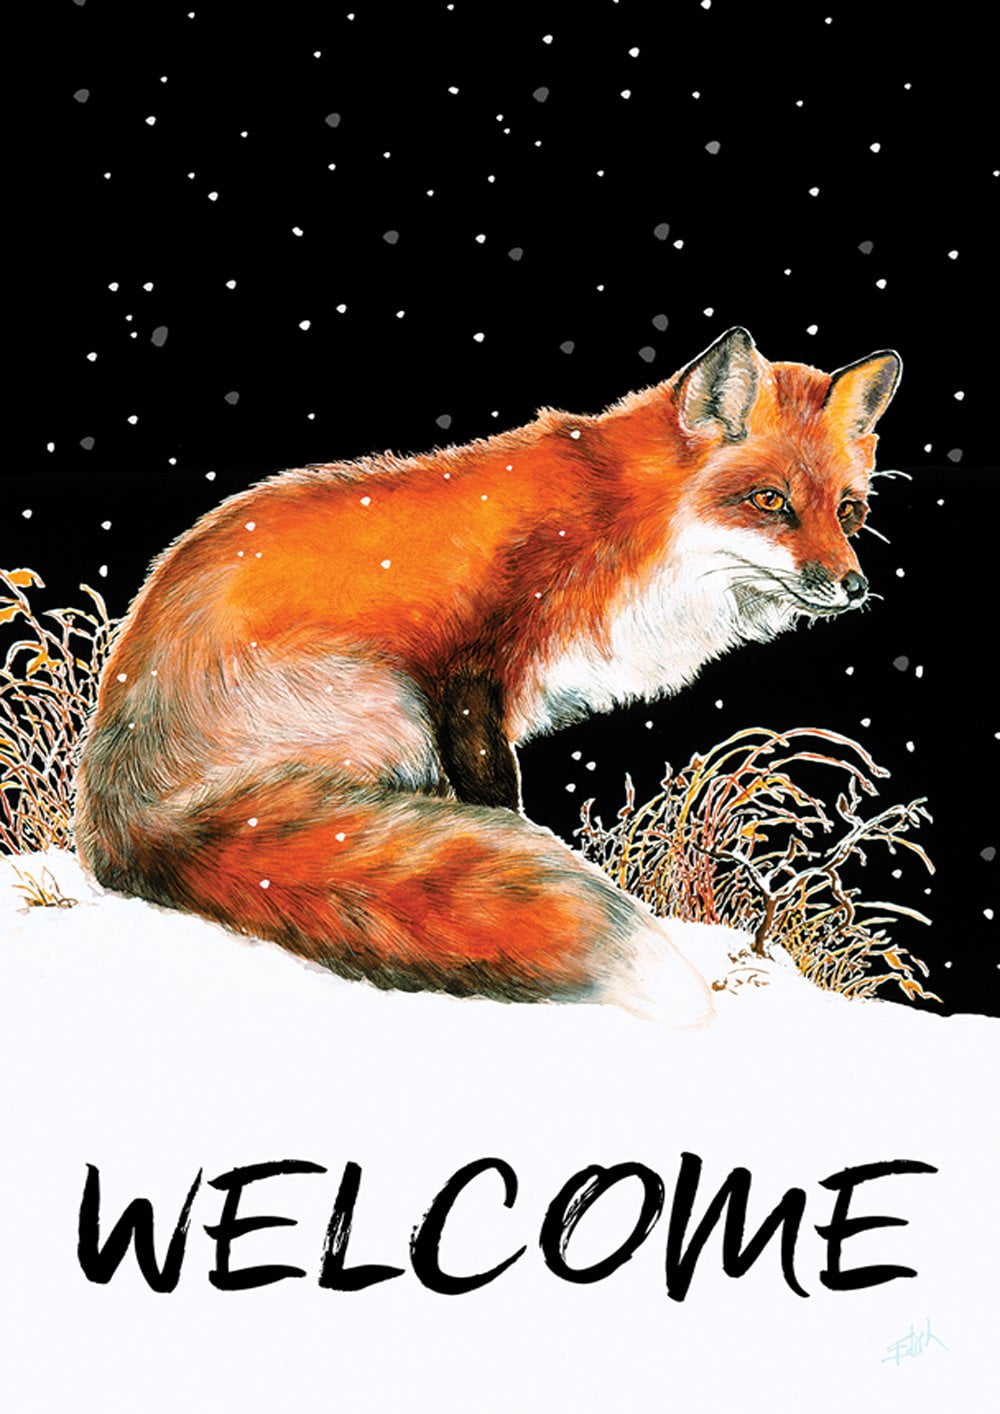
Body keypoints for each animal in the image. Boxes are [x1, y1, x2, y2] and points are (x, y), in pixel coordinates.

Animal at [74, 327, 900, 1025]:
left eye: (849, 512)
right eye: (771, 502)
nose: (854, 587)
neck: (624, 530)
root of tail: (122, 809)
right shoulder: (470, 673)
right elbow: (500, 802)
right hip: (391, 707)